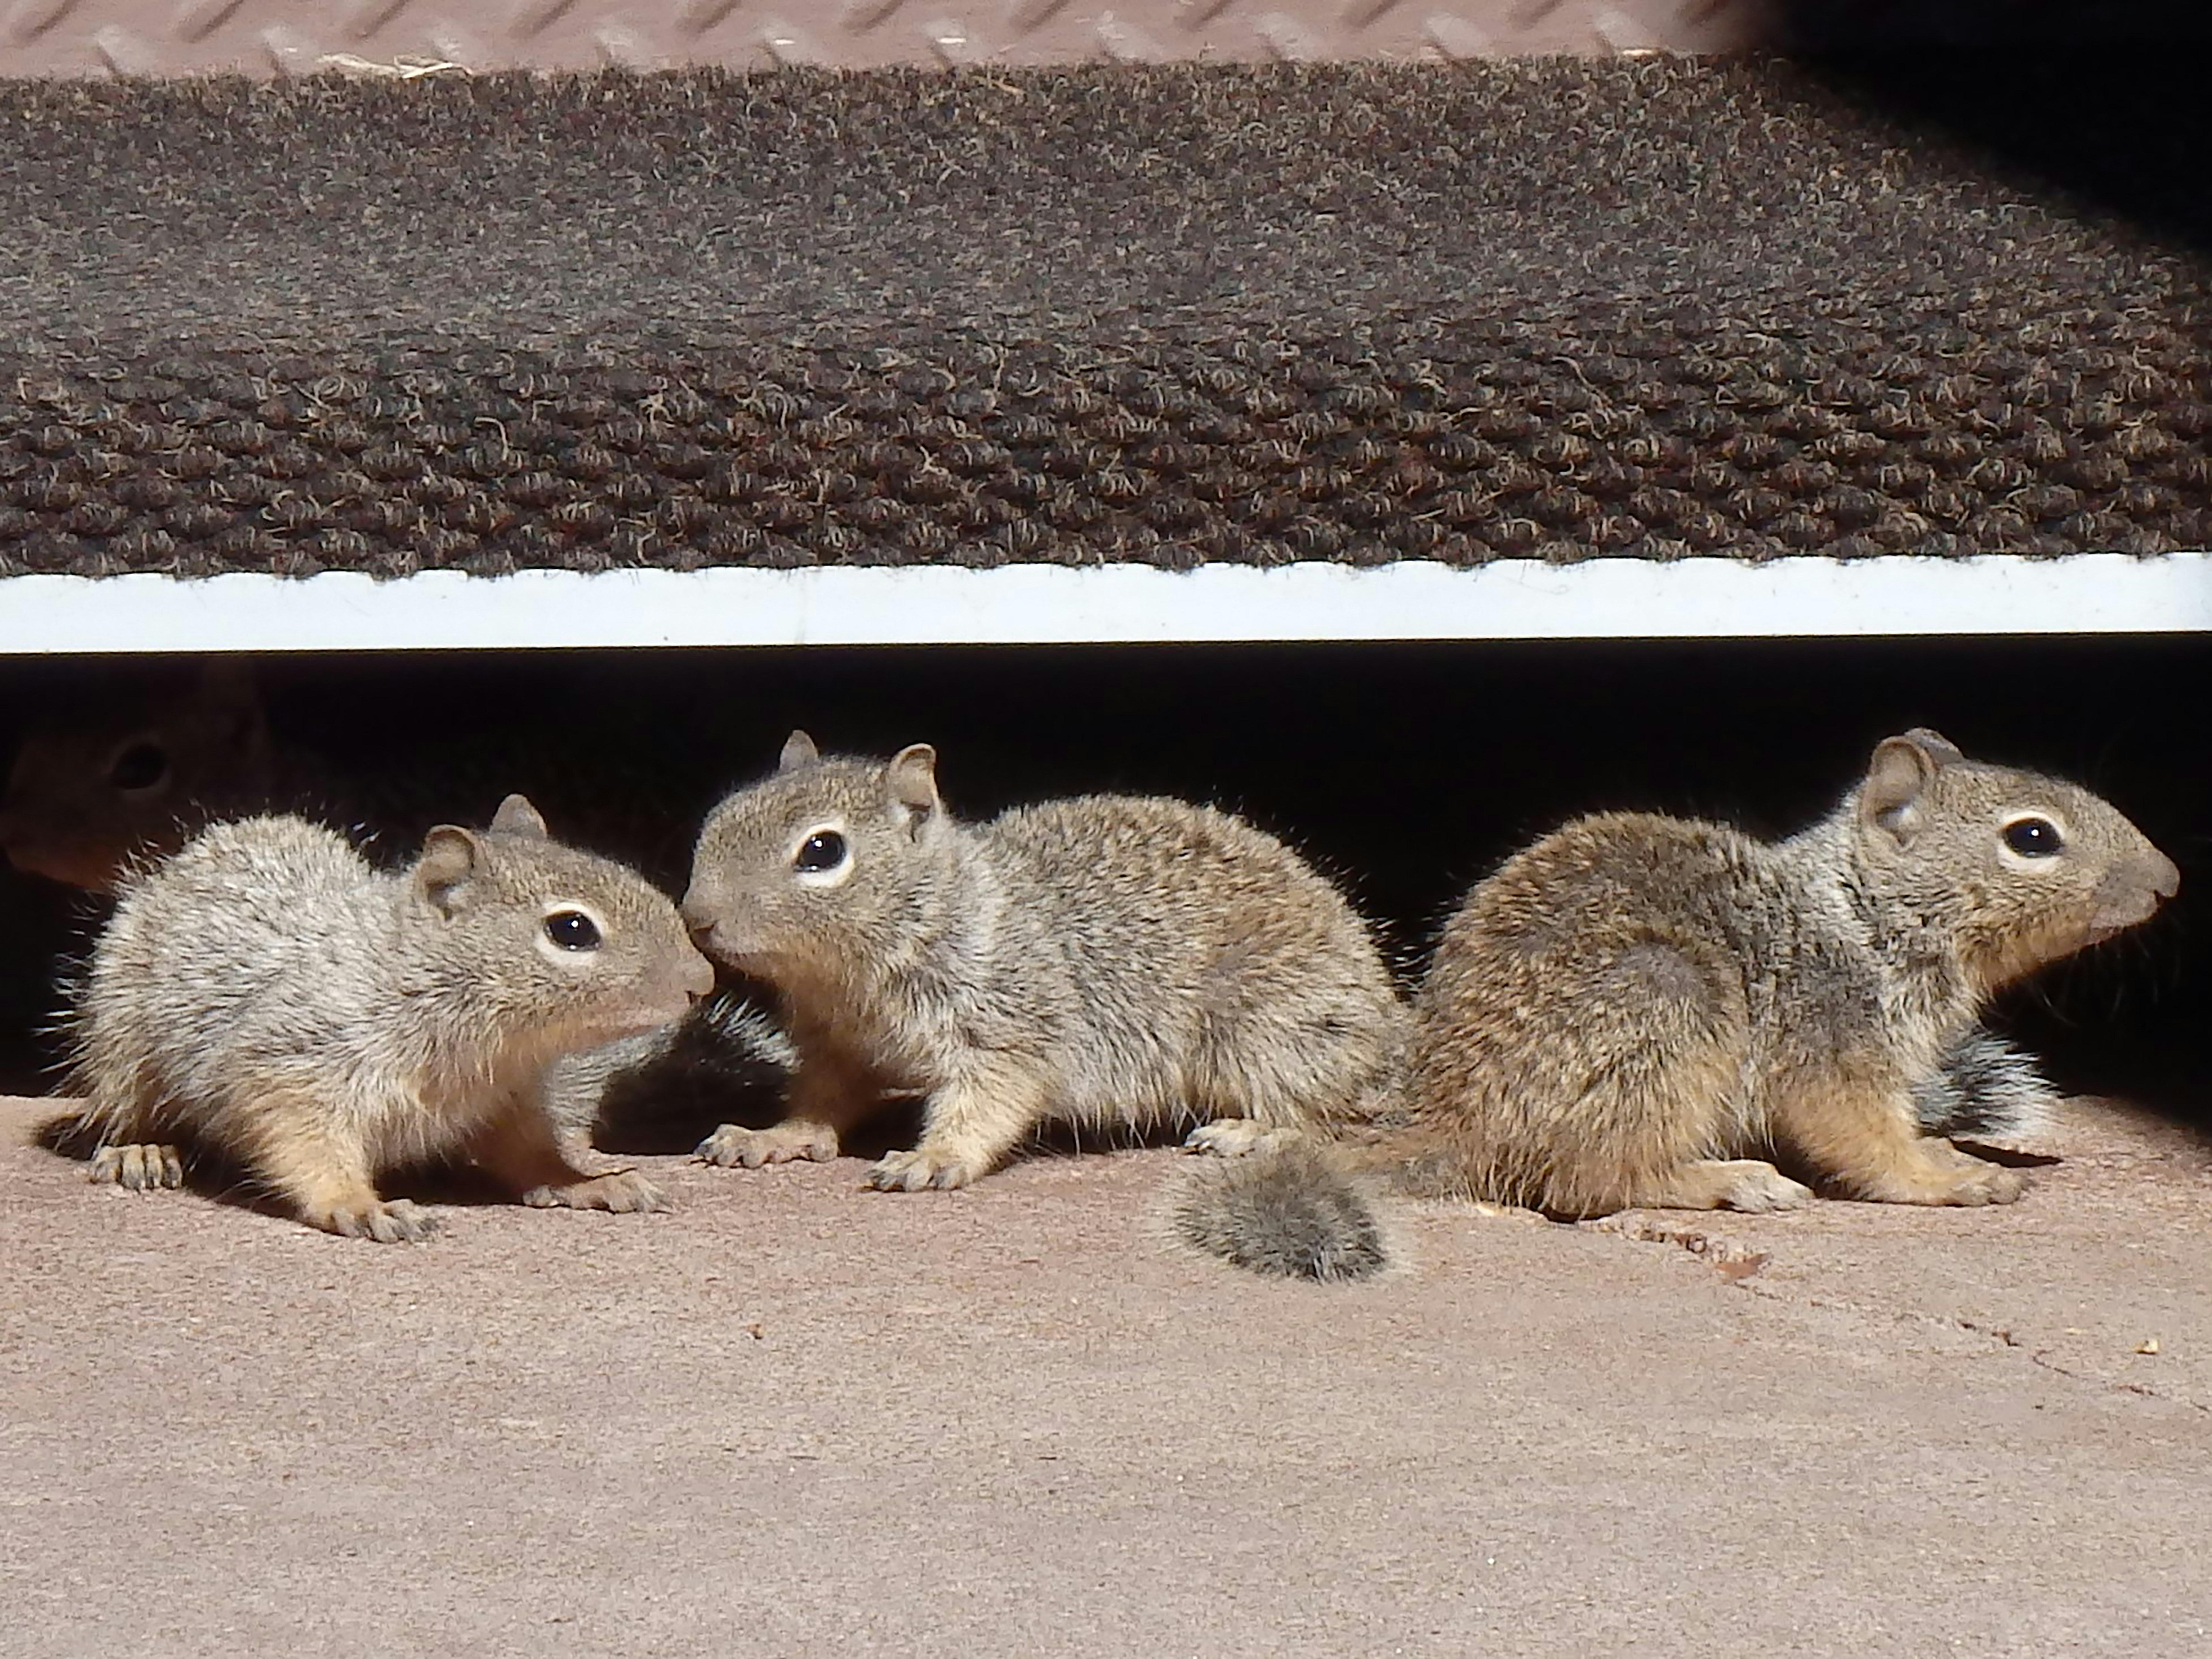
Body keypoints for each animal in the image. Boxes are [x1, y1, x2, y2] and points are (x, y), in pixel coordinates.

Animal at [63, 794, 713, 1240]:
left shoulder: (507, 1101)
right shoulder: (292, 1060)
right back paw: (140, 1150)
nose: (702, 983)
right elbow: (304, 1141)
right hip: (120, 1045)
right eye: (572, 930)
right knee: (125, 1109)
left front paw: (590, 1182)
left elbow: (531, 1154)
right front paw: (360, 1204)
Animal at [676, 730, 1407, 1193]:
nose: (695, 918)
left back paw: (1248, 1131)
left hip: (1269, 1033)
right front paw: (773, 1136)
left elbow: (987, 1103)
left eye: (822, 850)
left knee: (1318, 1117)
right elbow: (821, 1102)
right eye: (720, 814)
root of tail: (1388, 1023)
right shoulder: (837, 1045)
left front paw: (932, 1157)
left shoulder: (1008, 1030)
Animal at [1173, 729, 2178, 1278]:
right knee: (1587, 1181)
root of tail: (1458, 1126)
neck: (1863, 913)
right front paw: (1949, 1175)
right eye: (2032, 838)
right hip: (1665, 1011)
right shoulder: (1834, 1044)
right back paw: (1726, 1178)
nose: (2168, 880)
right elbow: (1864, 1140)